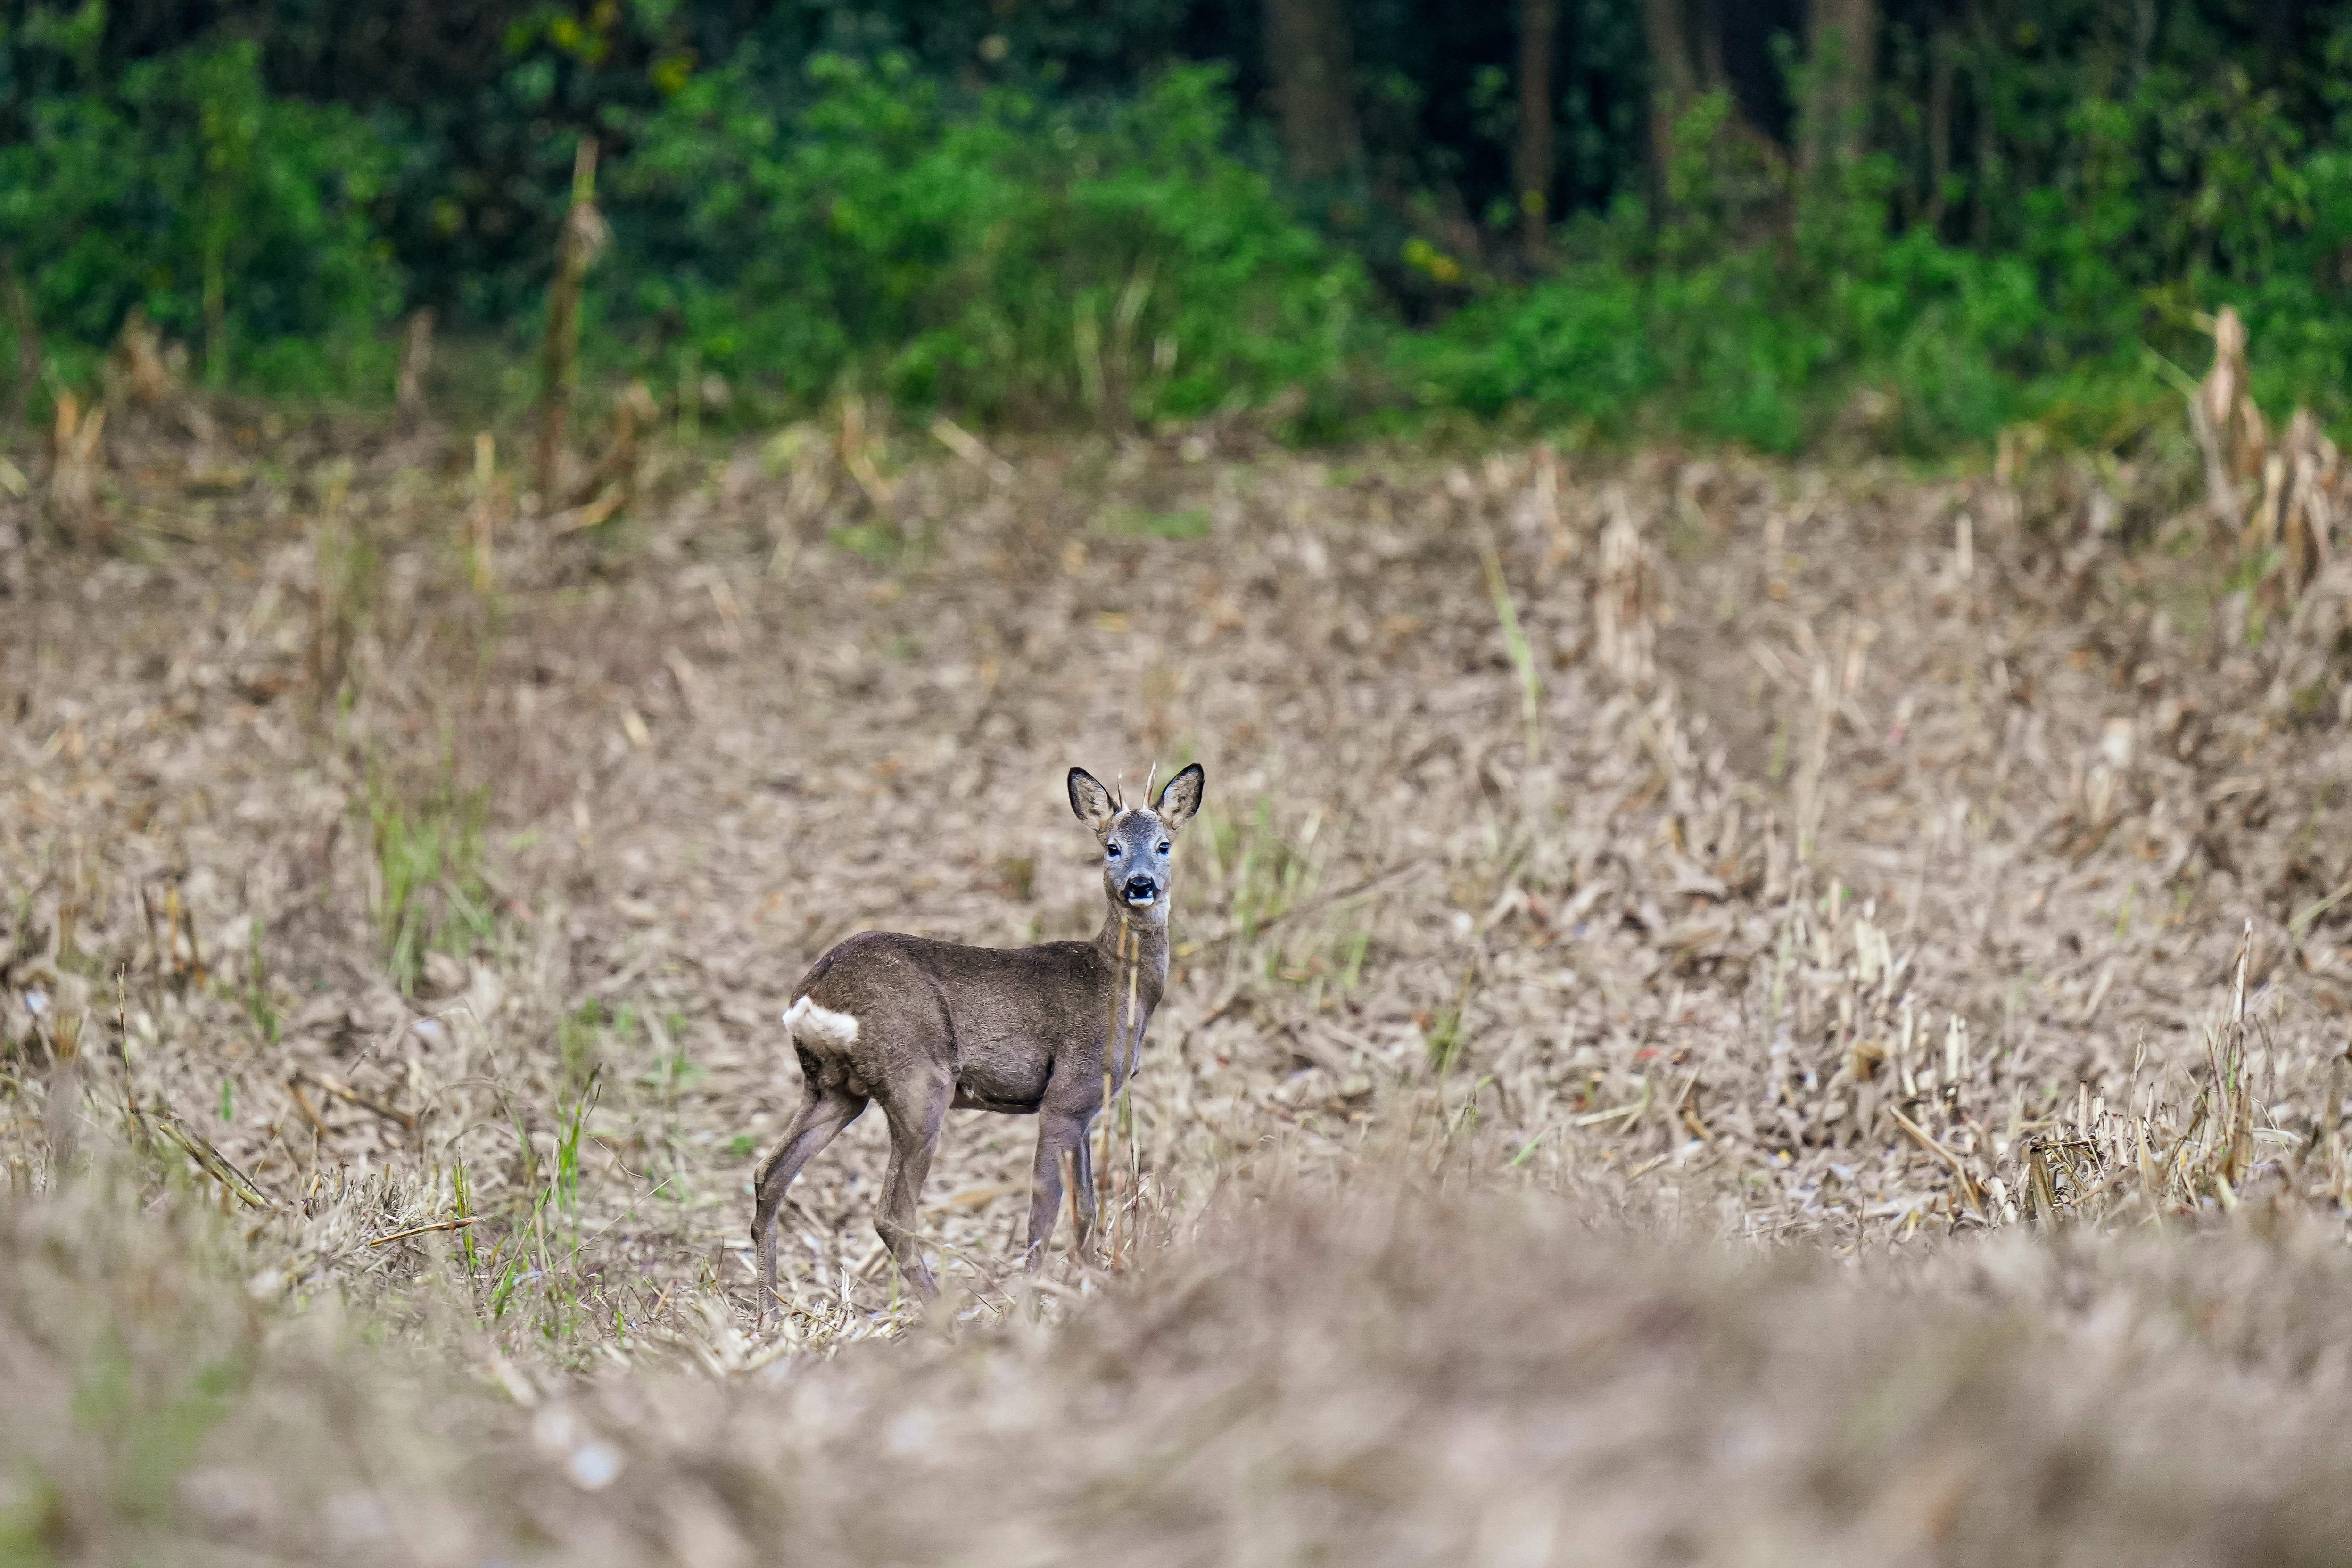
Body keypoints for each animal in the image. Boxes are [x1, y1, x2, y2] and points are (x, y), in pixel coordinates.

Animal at [752, 762, 1205, 1322]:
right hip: (919, 1083)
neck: (1118, 981)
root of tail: (812, 994)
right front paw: (1031, 1304)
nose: (1140, 885)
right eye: (1111, 847)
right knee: (891, 1213)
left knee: (769, 1174)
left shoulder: (1086, 1108)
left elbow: (1086, 1209)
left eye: (1164, 845)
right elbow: (1045, 1209)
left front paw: (1088, 1286)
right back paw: (946, 1316)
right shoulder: (1065, 1095)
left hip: (832, 1088)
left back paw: (768, 1315)